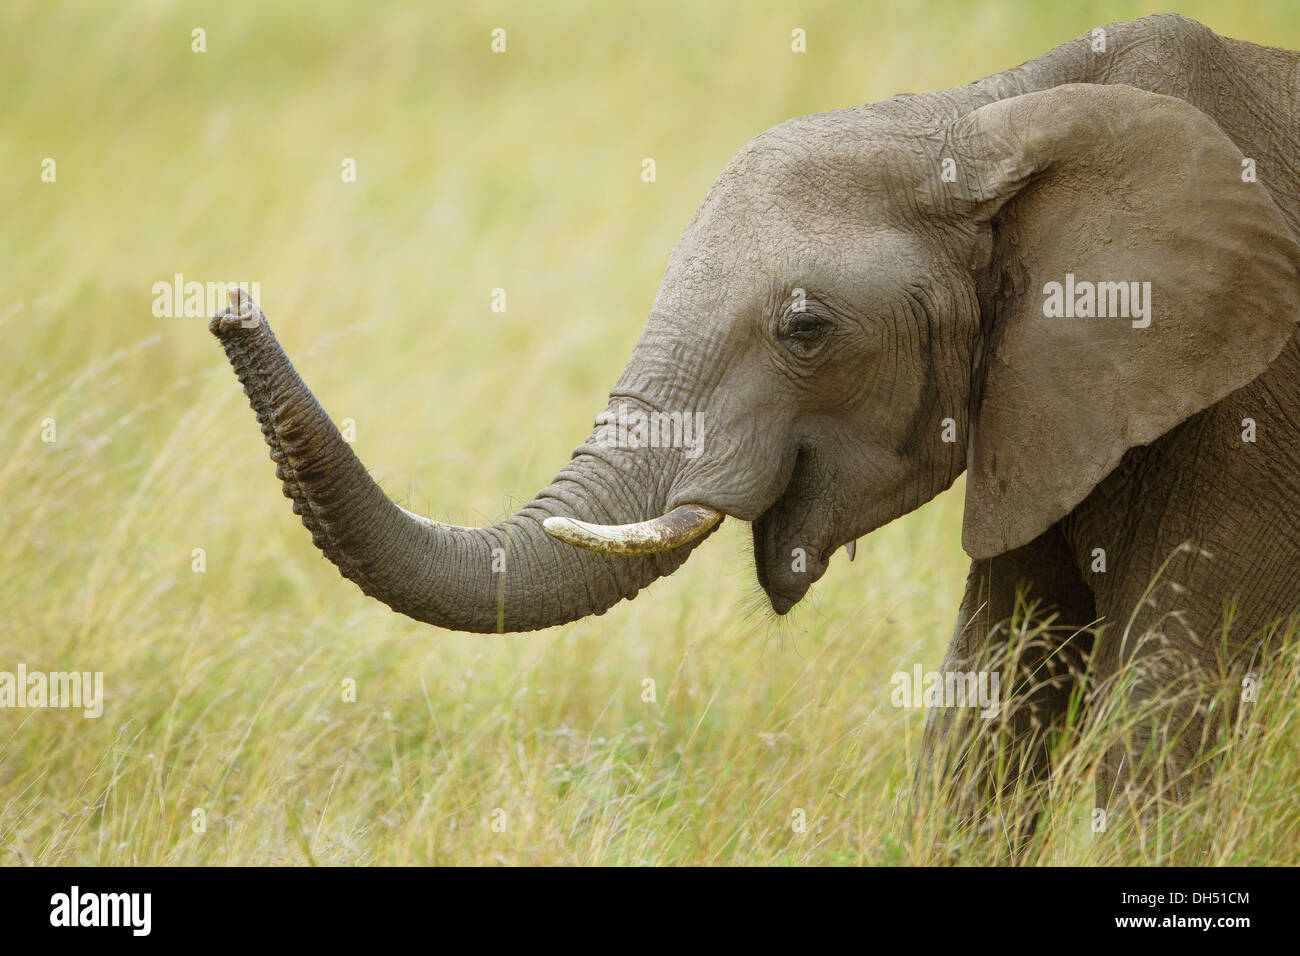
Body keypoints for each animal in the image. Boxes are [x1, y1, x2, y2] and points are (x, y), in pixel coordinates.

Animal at [212, 13, 1300, 838]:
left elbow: (1159, 710)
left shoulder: (1246, 419)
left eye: (806, 329)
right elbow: (990, 701)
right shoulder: (1043, 410)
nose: (229, 305)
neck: (987, 118)